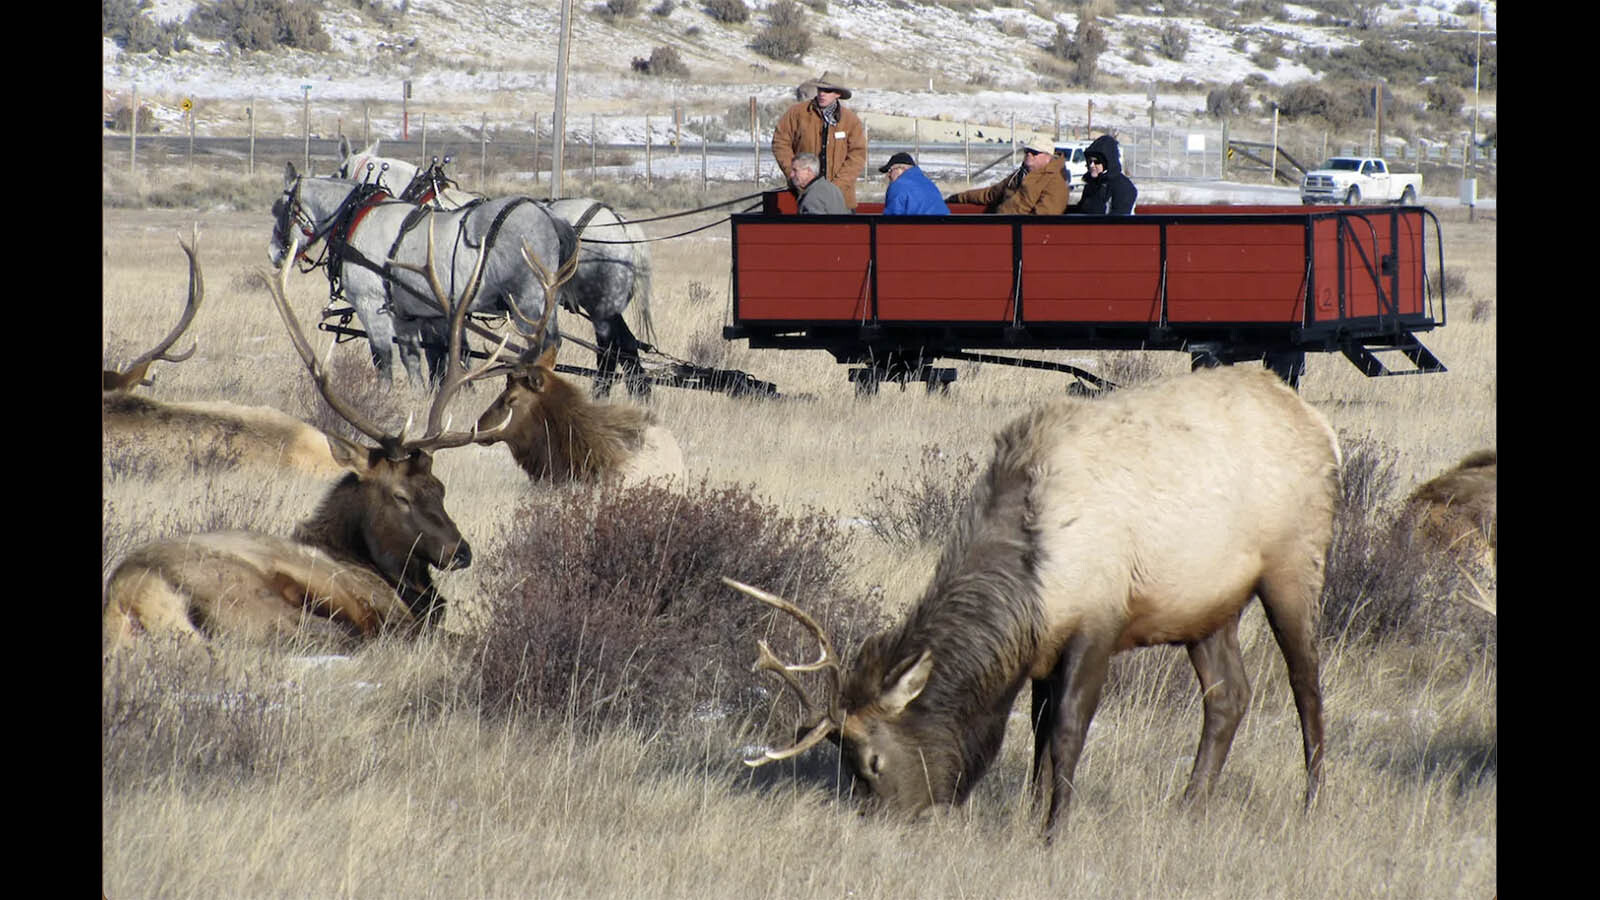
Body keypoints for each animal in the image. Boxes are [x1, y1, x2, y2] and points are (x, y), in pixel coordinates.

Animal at [103, 224, 530, 651]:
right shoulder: (390, 614)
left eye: (440, 488)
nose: (461, 552)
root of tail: (131, 598)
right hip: (264, 608)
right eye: (400, 497)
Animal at [725, 365, 1342, 836]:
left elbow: (1068, 730)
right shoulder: (1043, 648)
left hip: (1295, 564)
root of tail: (1318, 424)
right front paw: (1029, 814)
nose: (881, 819)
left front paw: (1054, 829)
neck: (1032, 581)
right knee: (1228, 696)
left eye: (871, 761)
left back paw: (1312, 801)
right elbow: (1040, 733)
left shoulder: (1099, 621)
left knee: (1306, 685)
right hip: (1208, 608)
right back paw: (1190, 804)